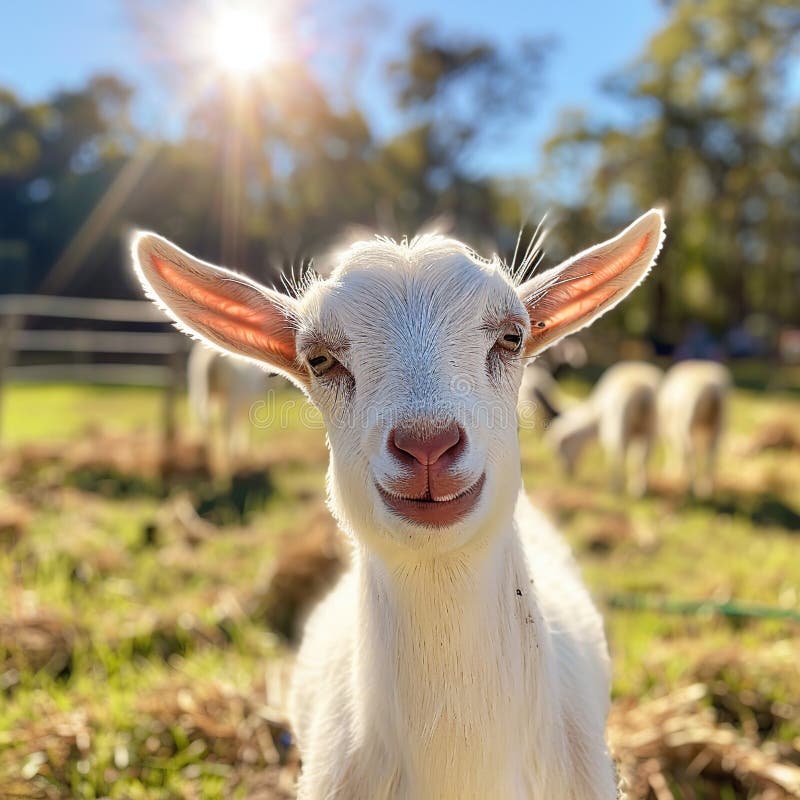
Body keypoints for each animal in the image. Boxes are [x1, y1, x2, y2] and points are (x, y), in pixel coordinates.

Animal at [658, 359, 730, 497]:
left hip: (687, 426)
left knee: (691, 452)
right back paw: (707, 487)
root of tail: (710, 388)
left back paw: (691, 487)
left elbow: (680, 453)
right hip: (720, 424)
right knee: (712, 454)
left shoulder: (676, 432)